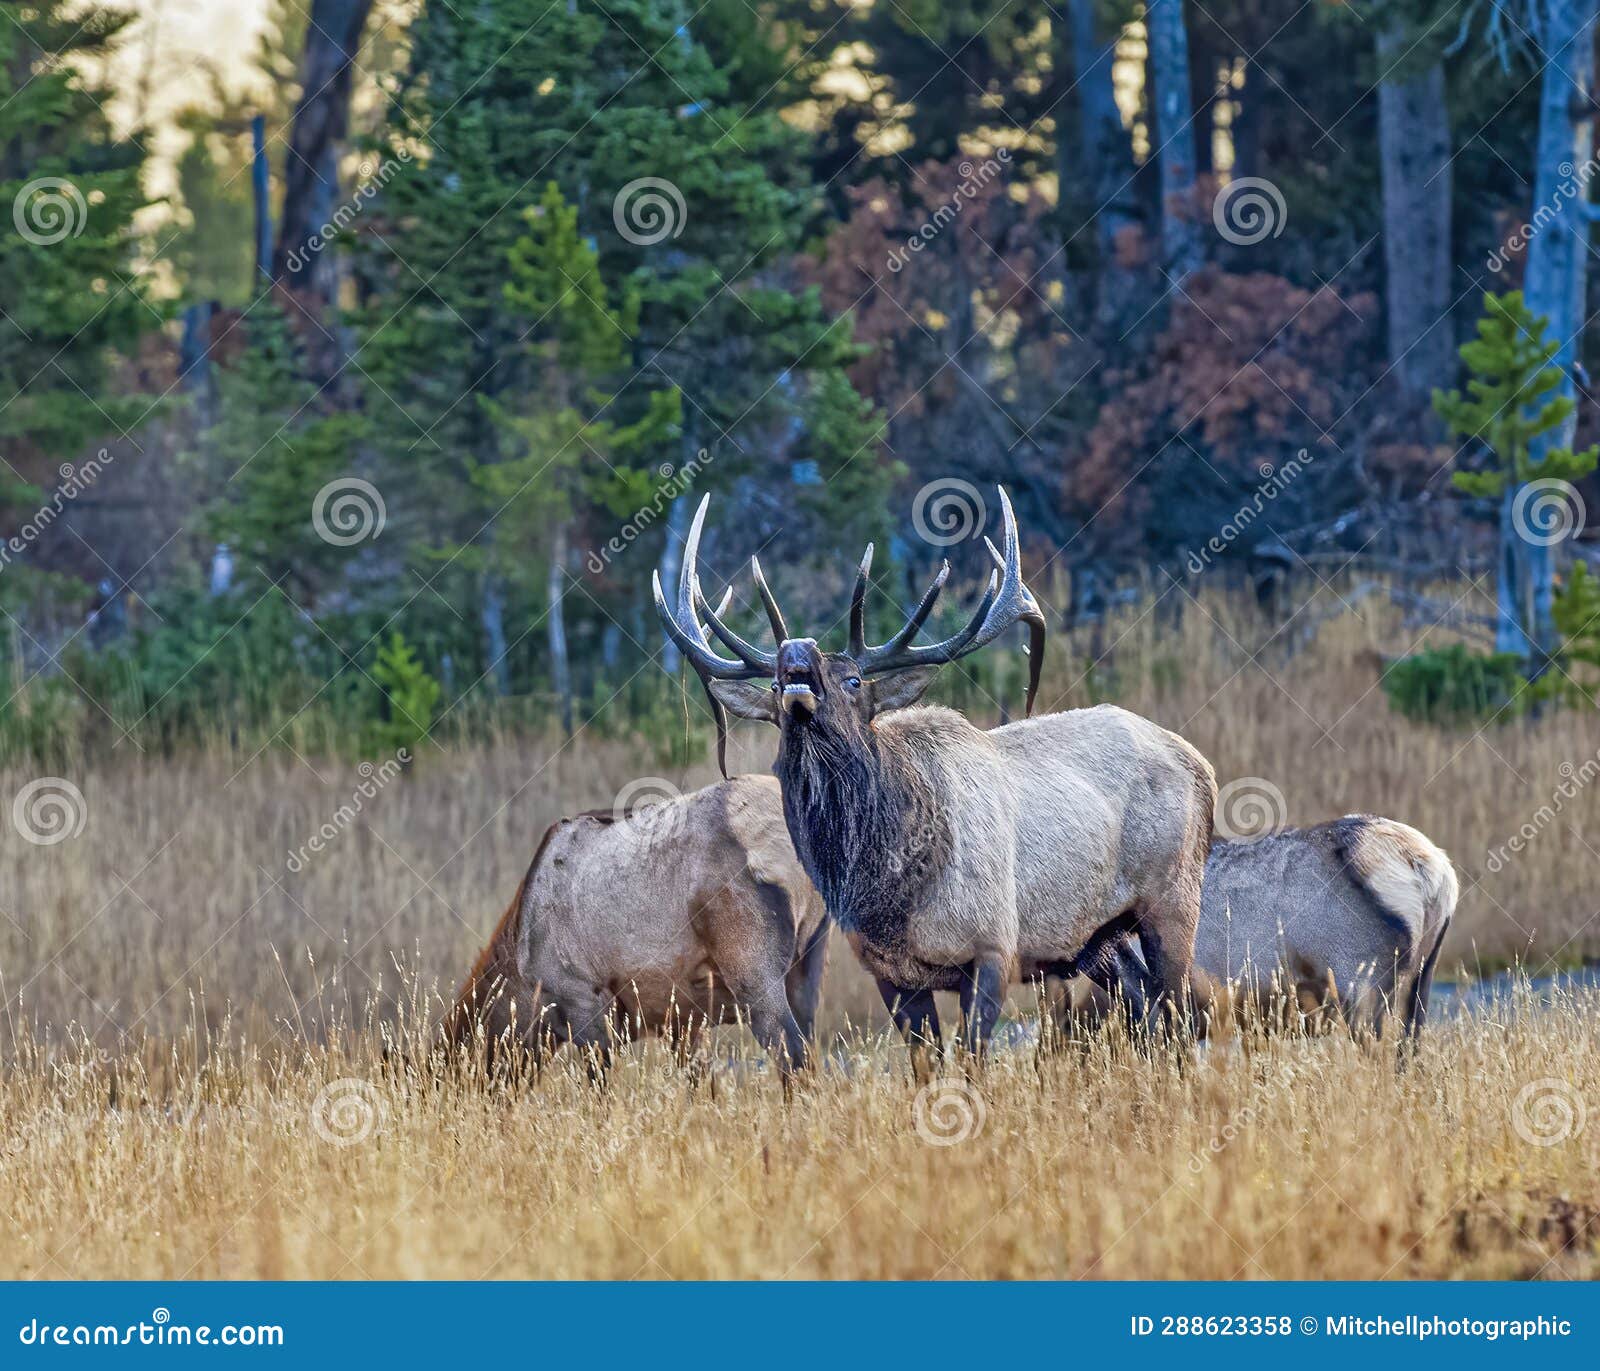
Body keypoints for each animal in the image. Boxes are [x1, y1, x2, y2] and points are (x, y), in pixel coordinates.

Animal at [653, 488, 1217, 1078]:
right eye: (776, 685)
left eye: (854, 679)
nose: (796, 652)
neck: (892, 894)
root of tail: (1202, 767)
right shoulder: (889, 973)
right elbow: (926, 1067)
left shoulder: (992, 947)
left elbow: (972, 1063)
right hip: (1098, 937)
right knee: (1146, 1004)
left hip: (1173, 898)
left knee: (1179, 1011)